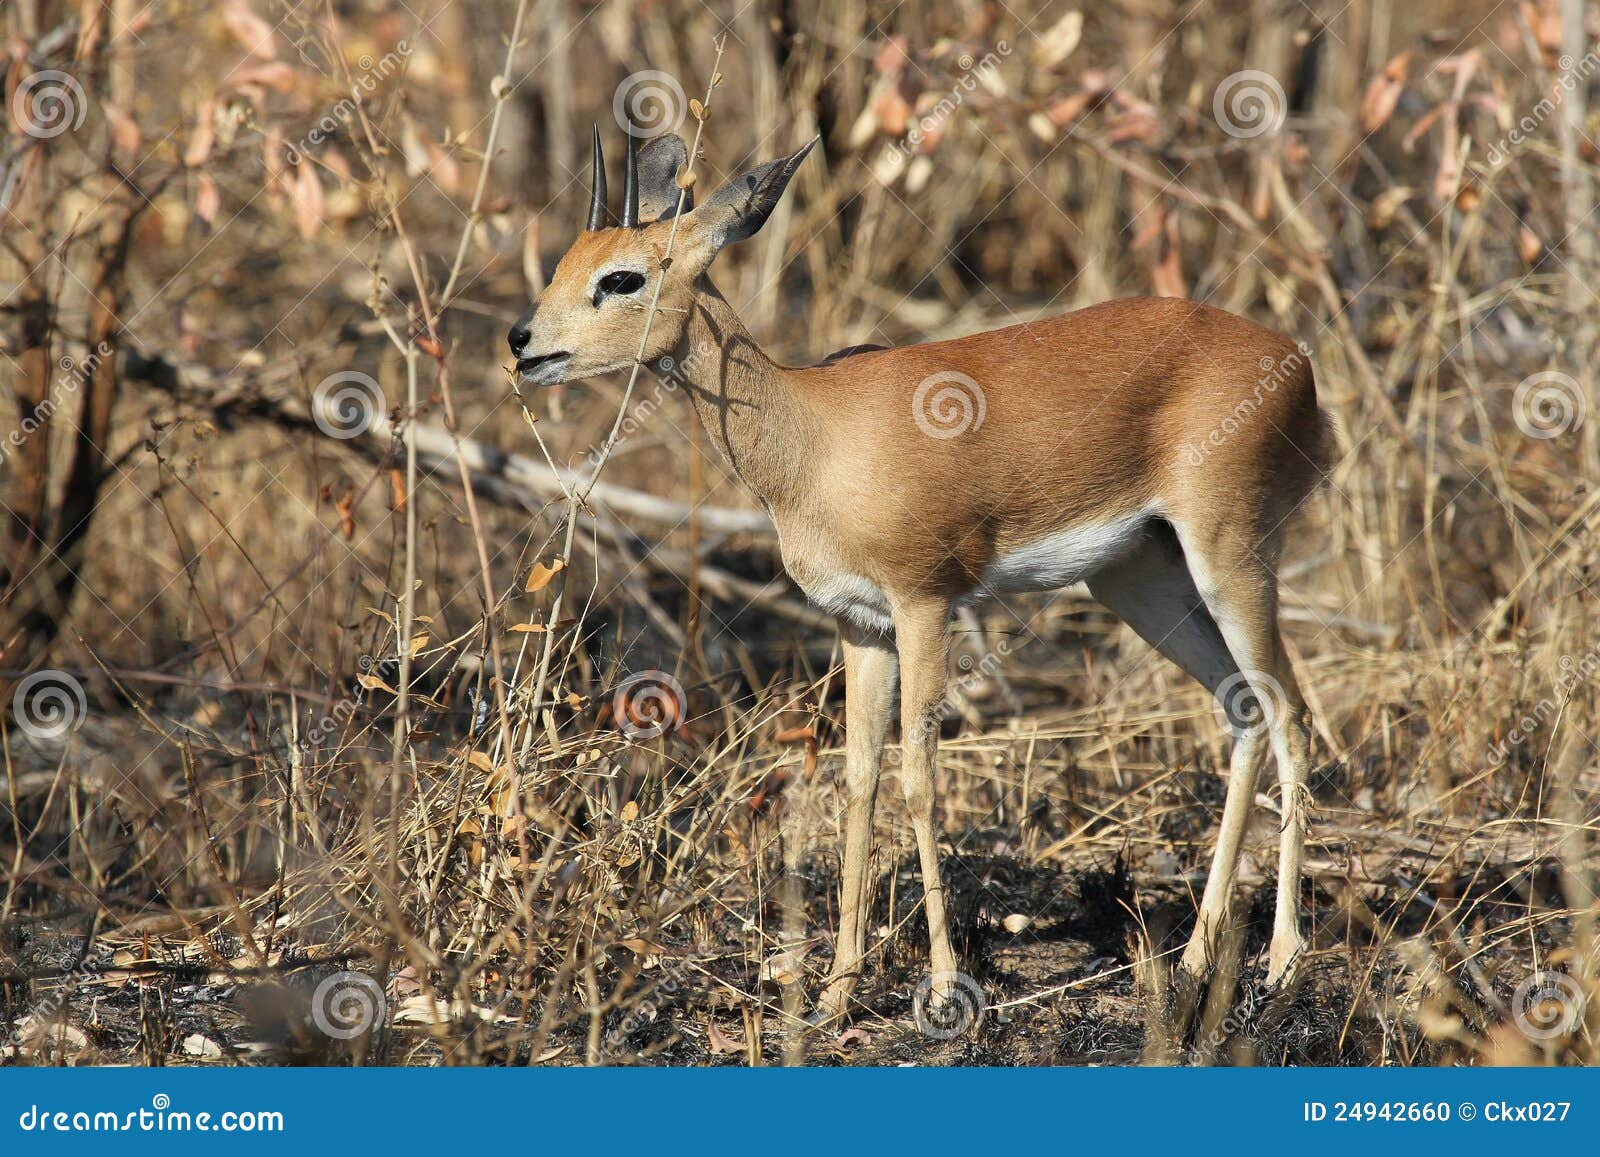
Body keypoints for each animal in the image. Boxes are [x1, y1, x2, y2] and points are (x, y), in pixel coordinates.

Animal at [507, 127, 1331, 1029]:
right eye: (565, 261)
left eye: (623, 276)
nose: (523, 342)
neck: (814, 435)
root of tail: (1294, 364)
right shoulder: (860, 623)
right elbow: (860, 778)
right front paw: (835, 989)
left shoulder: (924, 602)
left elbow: (920, 781)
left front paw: (941, 988)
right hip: (1137, 581)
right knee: (1243, 708)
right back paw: (1193, 958)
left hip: (1232, 556)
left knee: (1291, 712)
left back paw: (1284, 961)